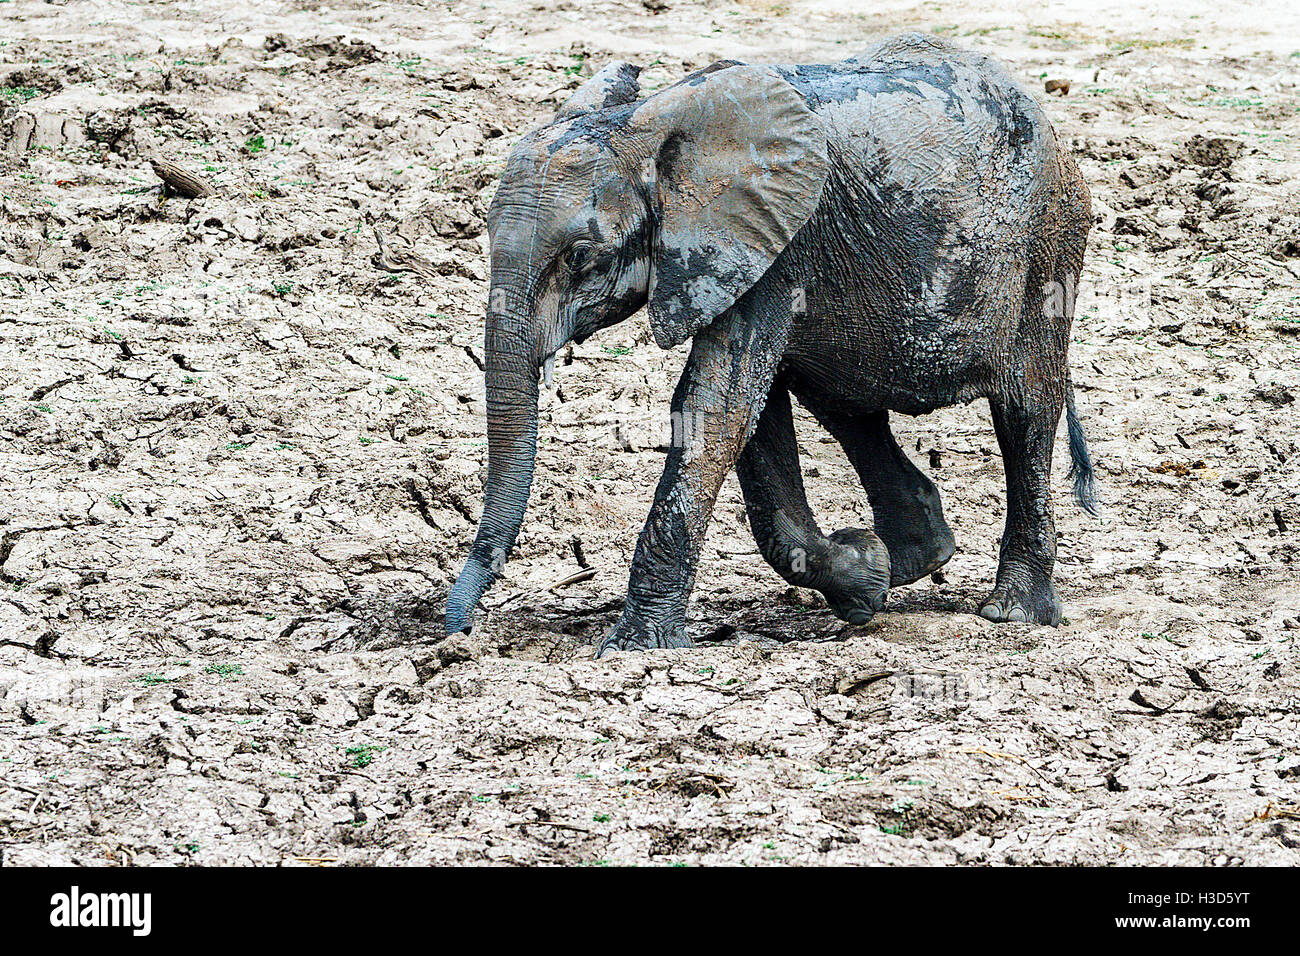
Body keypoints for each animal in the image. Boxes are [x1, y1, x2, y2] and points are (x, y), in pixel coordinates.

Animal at [444, 32, 1097, 657]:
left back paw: (1013, 613)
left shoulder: (776, 244)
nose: (458, 634)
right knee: (844, 402)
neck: (647, 127)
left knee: (1025, 412)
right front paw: (863, 578)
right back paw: (914, 562)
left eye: (580, 256)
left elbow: (718, 408)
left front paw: (632, 650)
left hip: (1050, 246)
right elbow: (751, 418)